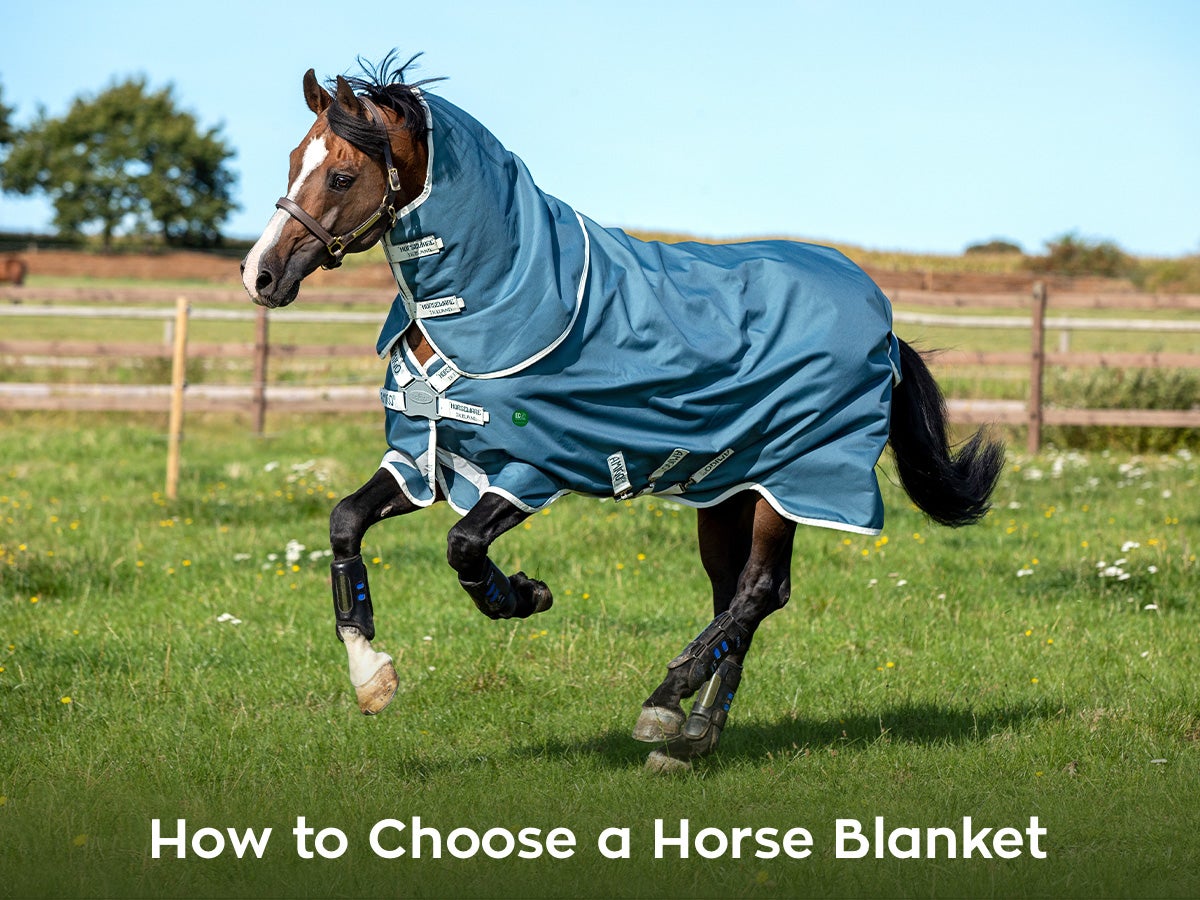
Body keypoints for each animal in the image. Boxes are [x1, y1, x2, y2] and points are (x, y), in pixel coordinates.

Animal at [240, 55, 1003, 763]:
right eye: (294, 161)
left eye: (342, 177)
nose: (260, 275)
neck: (498, 300)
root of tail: (883, 321)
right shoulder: (428, 456)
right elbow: (345, 521)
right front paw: (372, 677)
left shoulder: (530, 470)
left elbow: (462, 546)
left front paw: (521, 595)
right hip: (727, 489)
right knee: (737, 593)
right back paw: (695, 733)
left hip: (793, 481)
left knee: (760, 589)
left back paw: (666, 703)